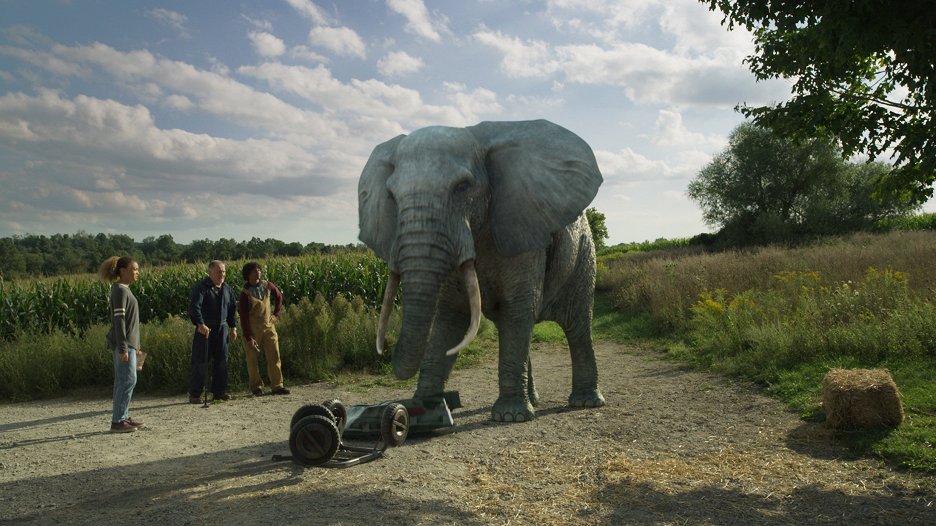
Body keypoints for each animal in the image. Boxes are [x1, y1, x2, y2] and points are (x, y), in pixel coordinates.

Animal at [358, 119, 605, 422]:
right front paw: (424, 407)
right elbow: (451, 316)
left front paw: (510, 417)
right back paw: (534, 399)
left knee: (577, 325)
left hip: (584, 253)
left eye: (463, 186)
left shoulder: (521, 234)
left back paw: (585, 402)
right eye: (391, 196)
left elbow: (519, 308)